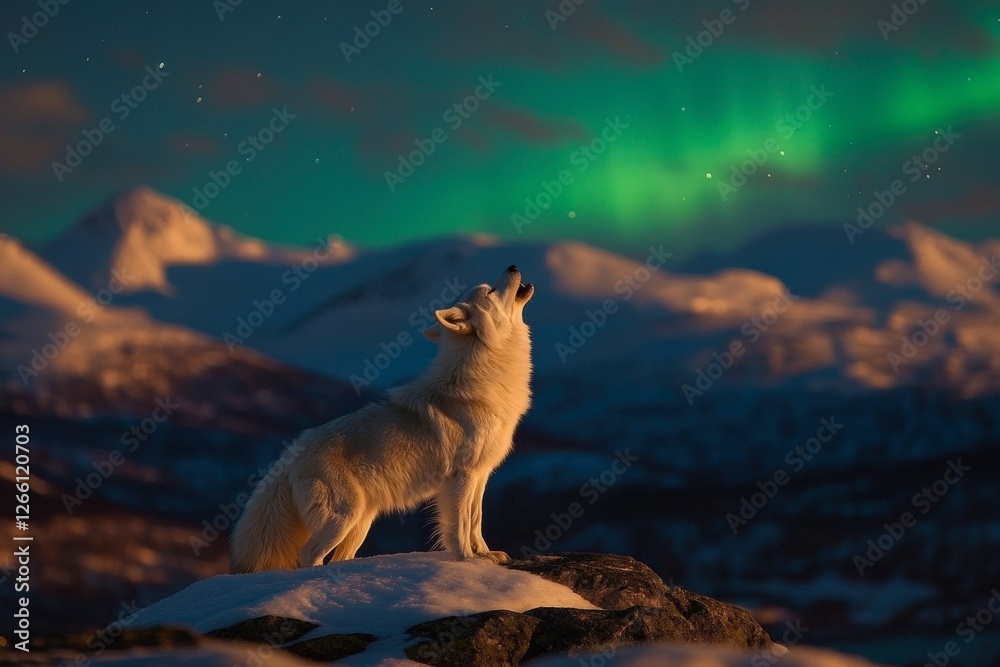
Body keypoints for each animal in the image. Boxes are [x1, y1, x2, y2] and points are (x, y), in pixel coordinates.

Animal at [230, 265, 534, 573]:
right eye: (490, 291)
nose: (512, 267)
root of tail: (291, 454)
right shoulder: (461, 477)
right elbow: (459, 526)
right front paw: (467, 561)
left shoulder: (480, 475)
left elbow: (475, 521)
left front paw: (486, 555)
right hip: (342, 517)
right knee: (309, 554)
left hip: (360, 523)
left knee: (340, 557)